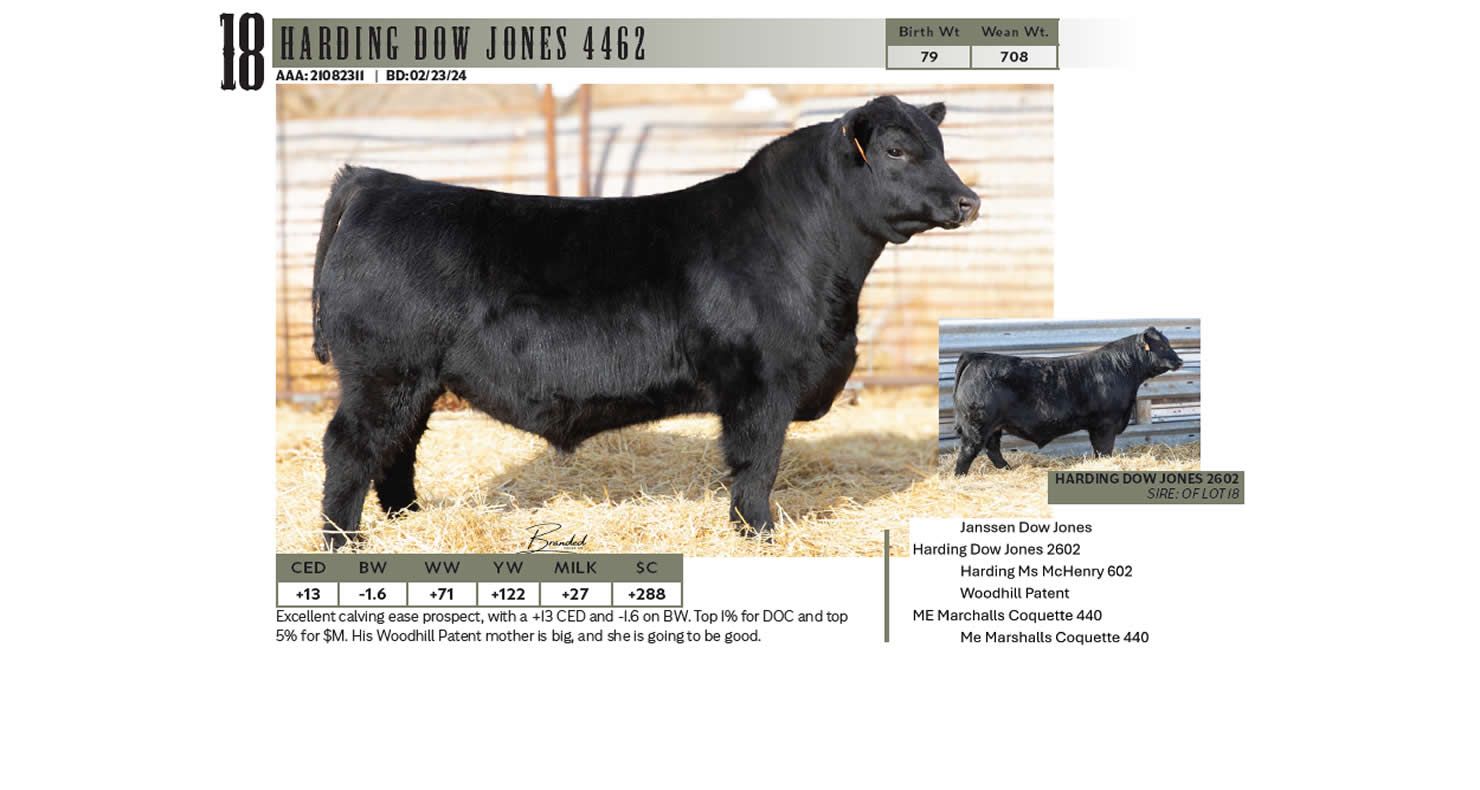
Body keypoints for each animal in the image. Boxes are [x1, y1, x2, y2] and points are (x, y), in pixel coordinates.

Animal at [311, 95, 980, 549]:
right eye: (896, 150)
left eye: (942, 147)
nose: (968, 200)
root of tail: (378, 182)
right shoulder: (760, 383)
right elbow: (757, 463)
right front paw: (758, 534)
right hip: (383, 372)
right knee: (351, 446)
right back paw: (345, 540)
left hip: (413, 380)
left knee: (398, 450)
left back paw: (409, 521)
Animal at [951, 327, 1185, 475]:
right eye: (1162, 347)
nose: (1180, 361)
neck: (1122, 370)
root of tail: (976, 356)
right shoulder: (1105, 425)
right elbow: (1104, 450)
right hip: (976, 426)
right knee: (967, 453)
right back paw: (960, 477)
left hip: (993, 427)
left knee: (993, 450)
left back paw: (1008, 470)